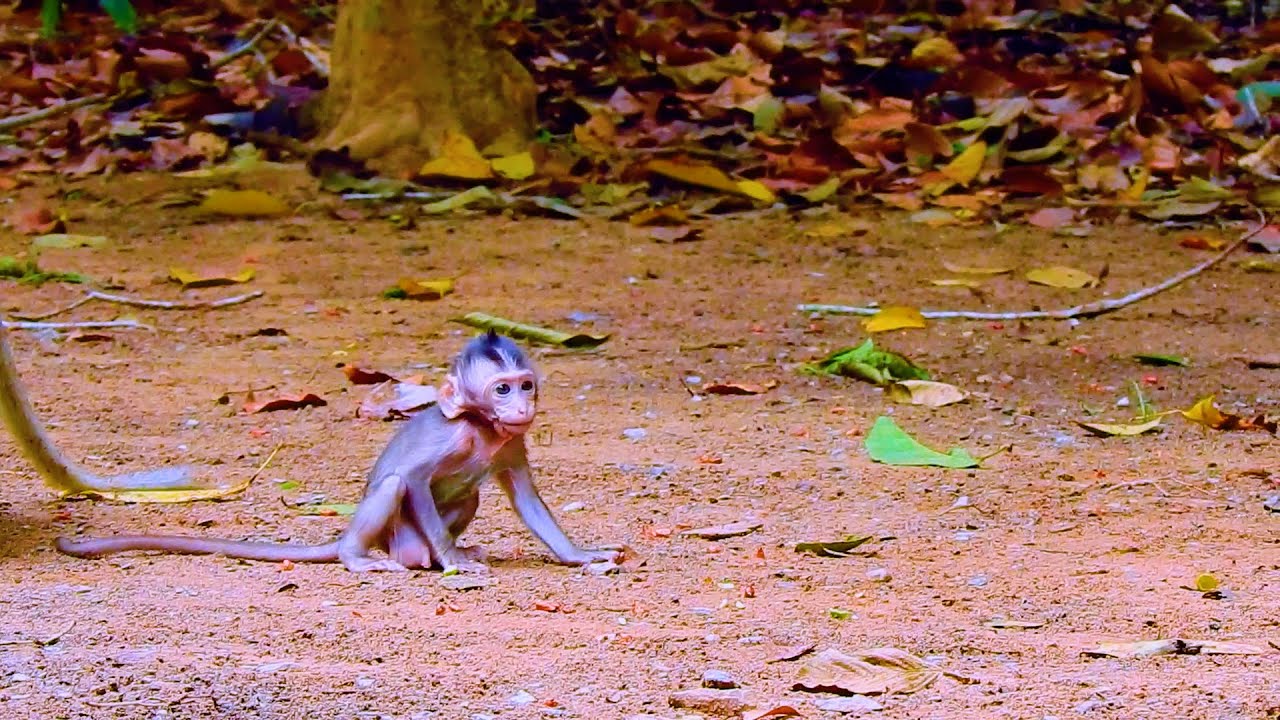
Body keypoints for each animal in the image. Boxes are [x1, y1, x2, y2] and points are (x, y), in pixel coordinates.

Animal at [56, 331, 623, 573]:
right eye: (501, 389)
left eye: (525, 385)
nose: (523, 405)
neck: (482, 429)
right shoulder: (455, 437)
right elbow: (413, 480)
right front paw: (455, 561)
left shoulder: (512, 440)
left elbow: (524, 495)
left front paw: (578, 555)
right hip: (399, 540)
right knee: (395, 493)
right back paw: (359, 557)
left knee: (472, 498)